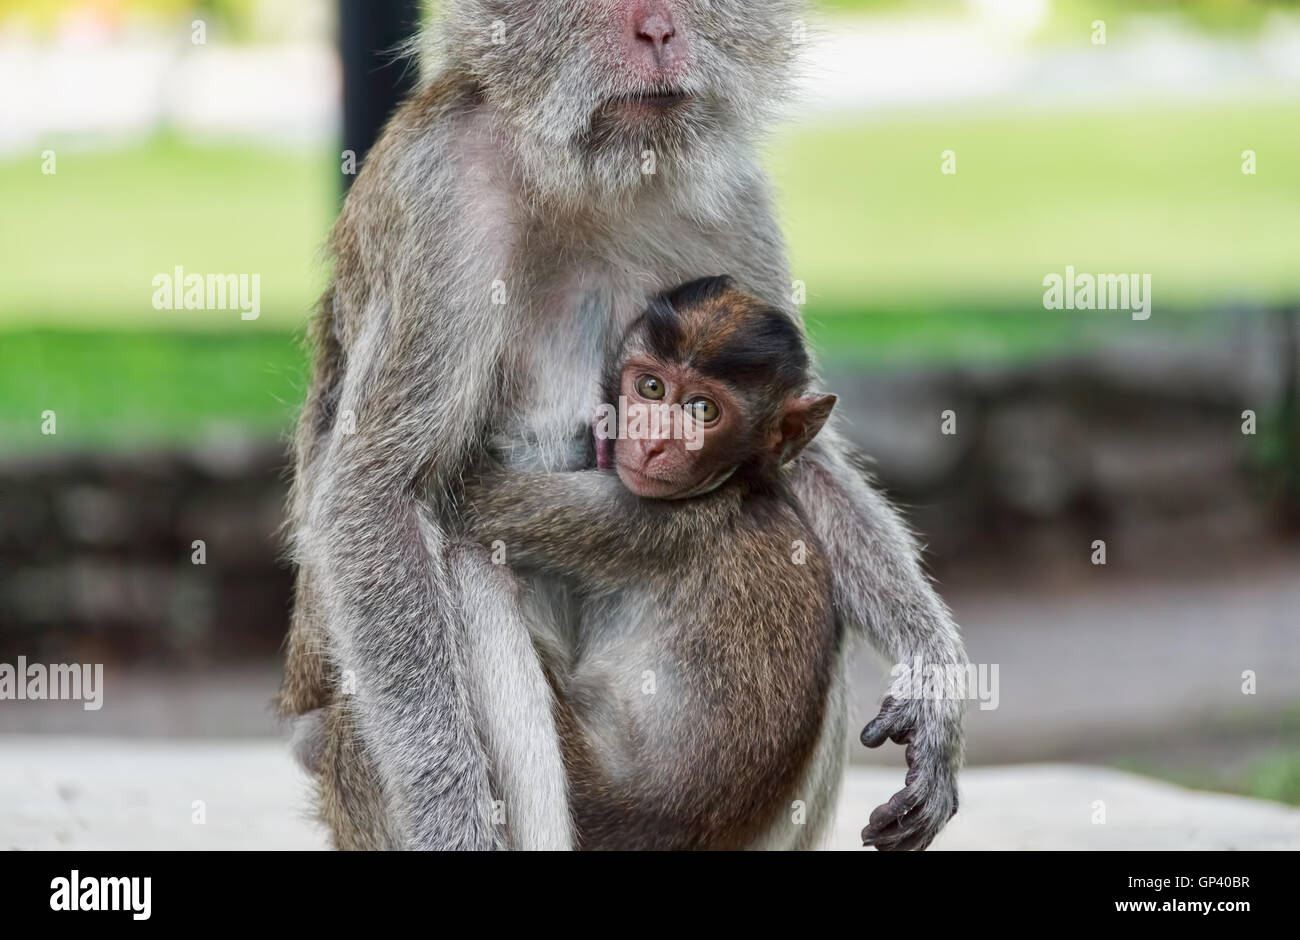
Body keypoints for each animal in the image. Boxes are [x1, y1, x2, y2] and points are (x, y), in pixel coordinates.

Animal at [461, 276, 839, 849]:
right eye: (652, 388)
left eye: (703, 410)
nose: (654, 442)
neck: (735, 484)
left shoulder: (633, 520)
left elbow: (474, 500)